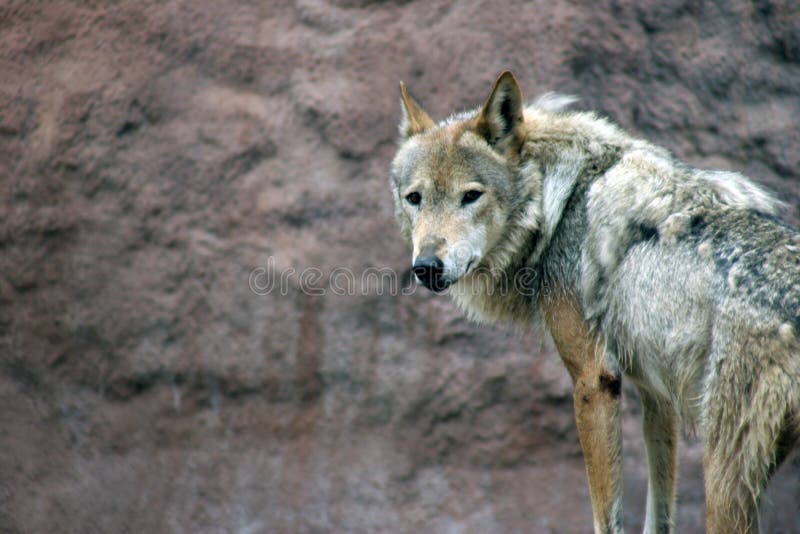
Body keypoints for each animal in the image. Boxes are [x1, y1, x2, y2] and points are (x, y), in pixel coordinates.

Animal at [389, 71, 800, 533]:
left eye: (471, 196)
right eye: (415, 198)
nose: (427, 266)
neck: (556, 202)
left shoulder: (594, 379)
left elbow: (608, 515)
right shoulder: (656, 395)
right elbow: (659, 513)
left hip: (725, 480)